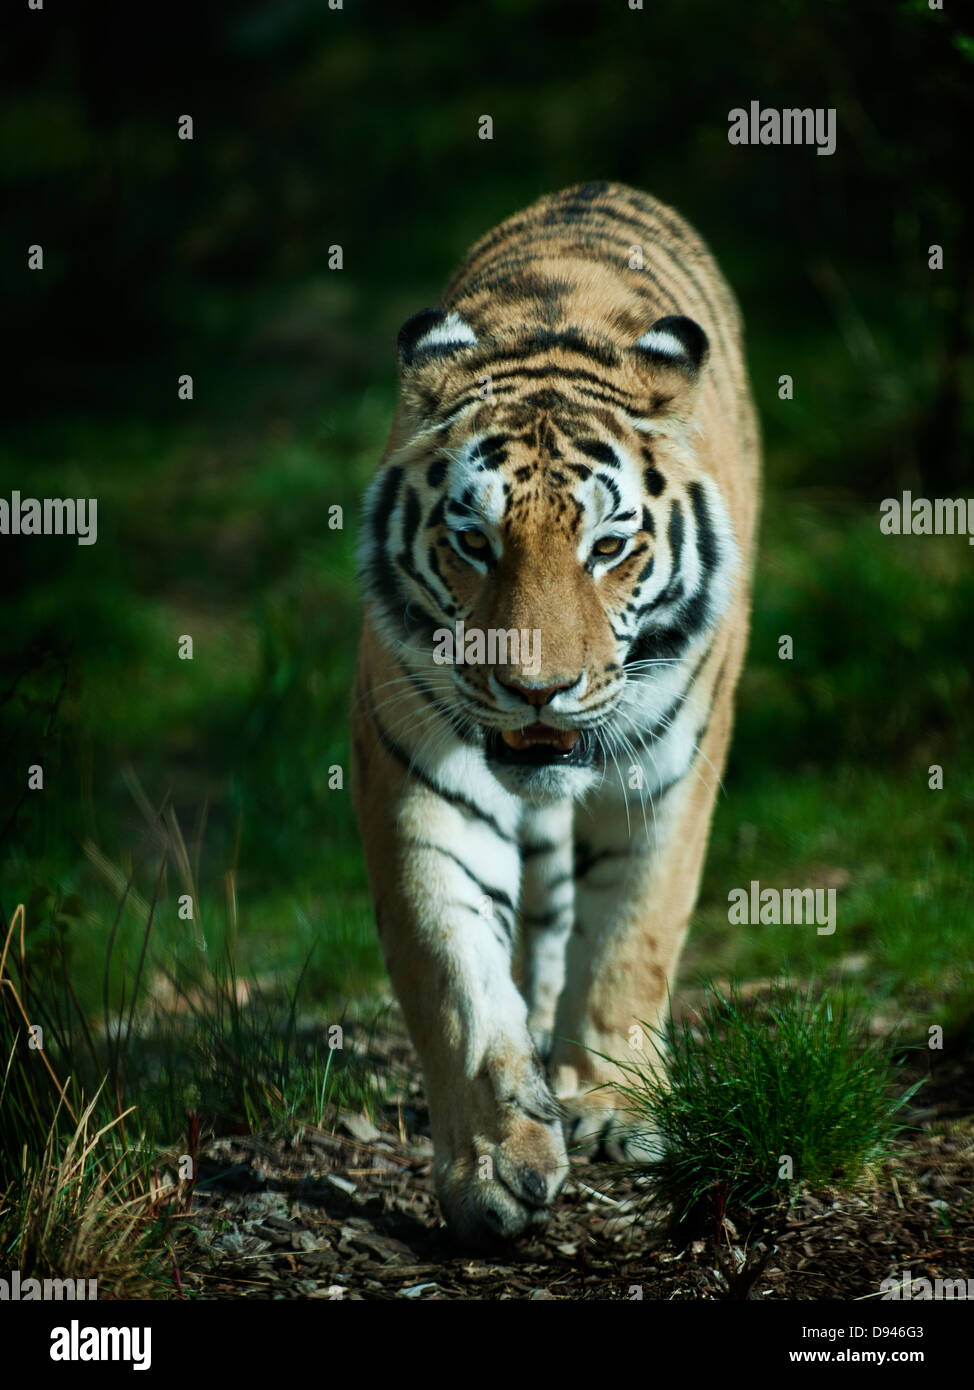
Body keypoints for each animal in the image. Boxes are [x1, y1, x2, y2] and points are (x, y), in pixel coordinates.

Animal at [352, 180, 760, 1244]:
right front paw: (495, 1163)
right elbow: (451, 971)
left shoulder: (668, 770)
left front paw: (614, 1104)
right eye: (475, 541)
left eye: (609, 546)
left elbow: (632, 936)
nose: (537, 688)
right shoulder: (420, 775)